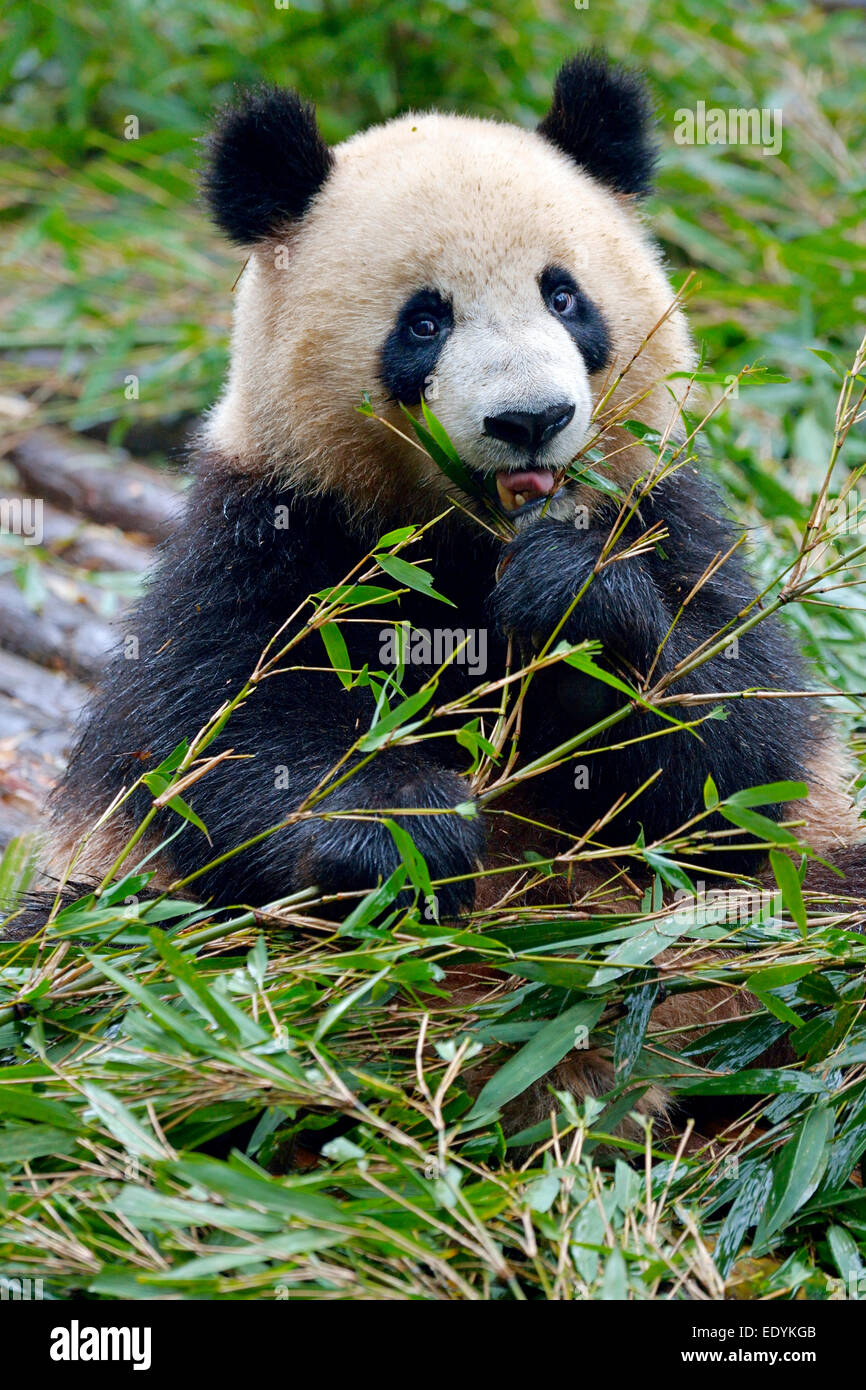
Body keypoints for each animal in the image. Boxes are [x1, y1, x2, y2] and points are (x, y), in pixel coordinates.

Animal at [16, 51, 864, 1135]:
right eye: (425, 320)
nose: (529, 419)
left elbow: (740, 757)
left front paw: (573, 599)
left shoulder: (670, 516)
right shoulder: (269, 530)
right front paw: (407, 828)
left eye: (564, 298)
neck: (466, 542)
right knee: (90, 958)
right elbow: (207, 743)